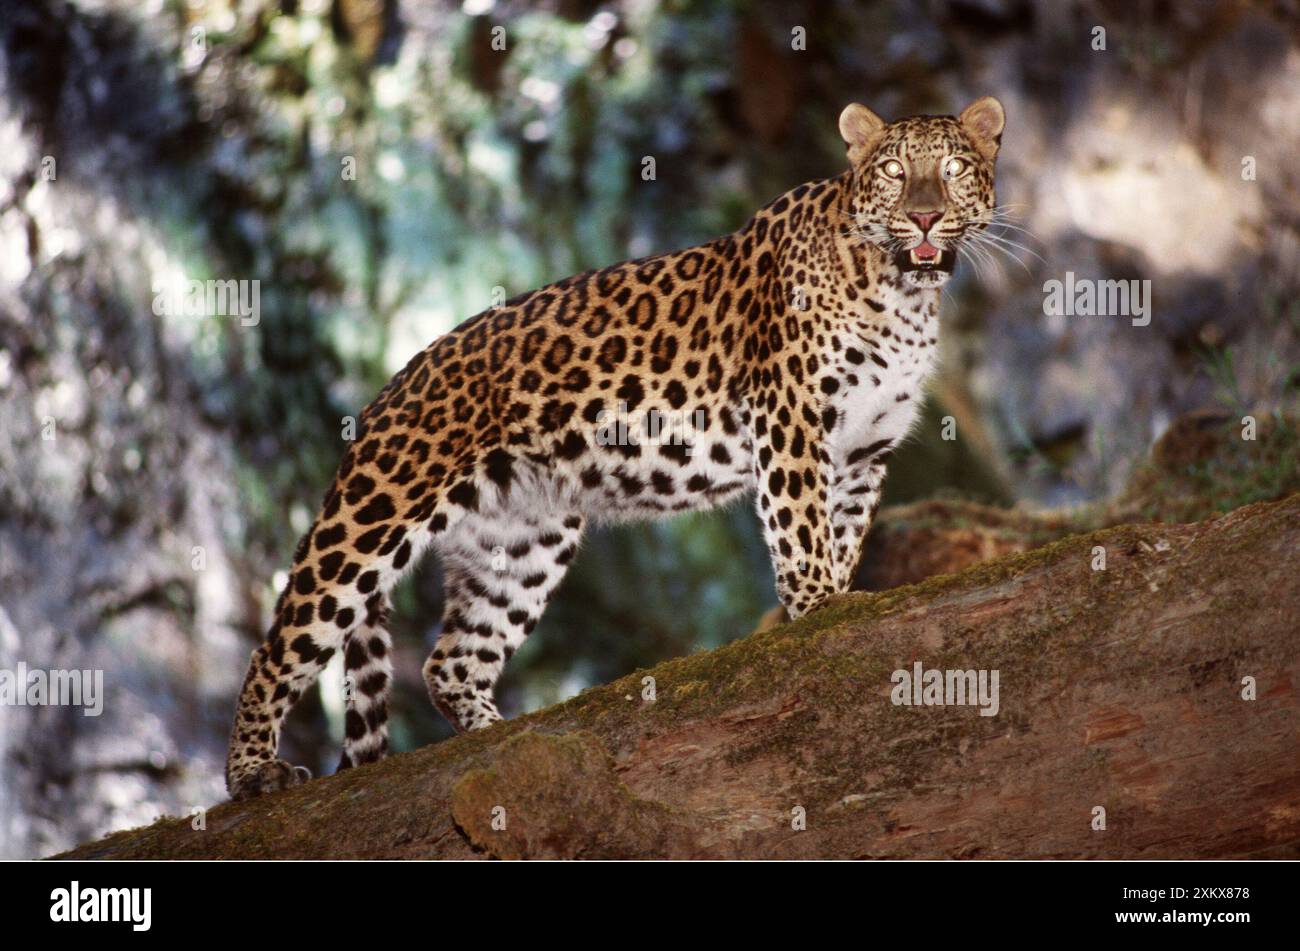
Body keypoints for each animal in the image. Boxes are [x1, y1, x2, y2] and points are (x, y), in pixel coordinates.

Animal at [225, 97, 1006, 800]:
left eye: (954, 170)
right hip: (374, 515)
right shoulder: (792, 419)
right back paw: (252, 772)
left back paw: (493, 732)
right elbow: (803, 530)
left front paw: (836, 599)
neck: (902, 294)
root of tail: (387, 388)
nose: (926, 216)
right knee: (280, 641)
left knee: (450, 661)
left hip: (524, 541)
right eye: (896, 172)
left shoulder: (863, 450)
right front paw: (817, 608)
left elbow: (842, 534)